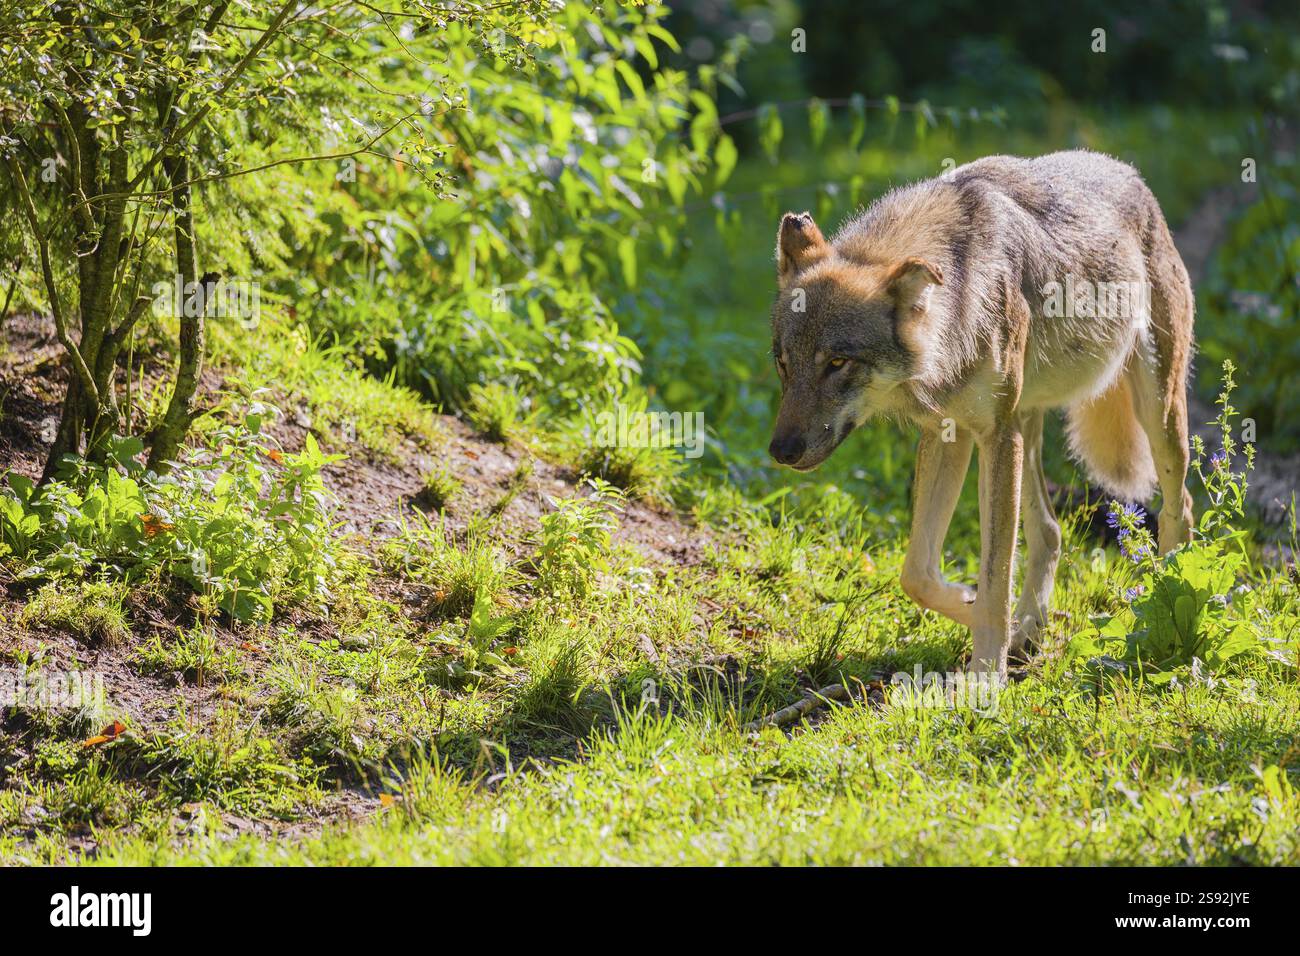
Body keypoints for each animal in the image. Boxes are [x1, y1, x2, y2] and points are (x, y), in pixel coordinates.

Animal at [767, 150, 1194, 677]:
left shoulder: (992, 434)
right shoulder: (949, 433)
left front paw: (985, 678)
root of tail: (1129, 173)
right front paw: (977, 616)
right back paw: (1028, 632)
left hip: (1154, 417)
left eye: (837, 363)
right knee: (1050, 532)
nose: (781, 450)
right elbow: (917, 574)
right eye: (783, 363)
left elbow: (994, 578)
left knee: (1181, 508)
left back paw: (1167, 602)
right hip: (1025, 428)